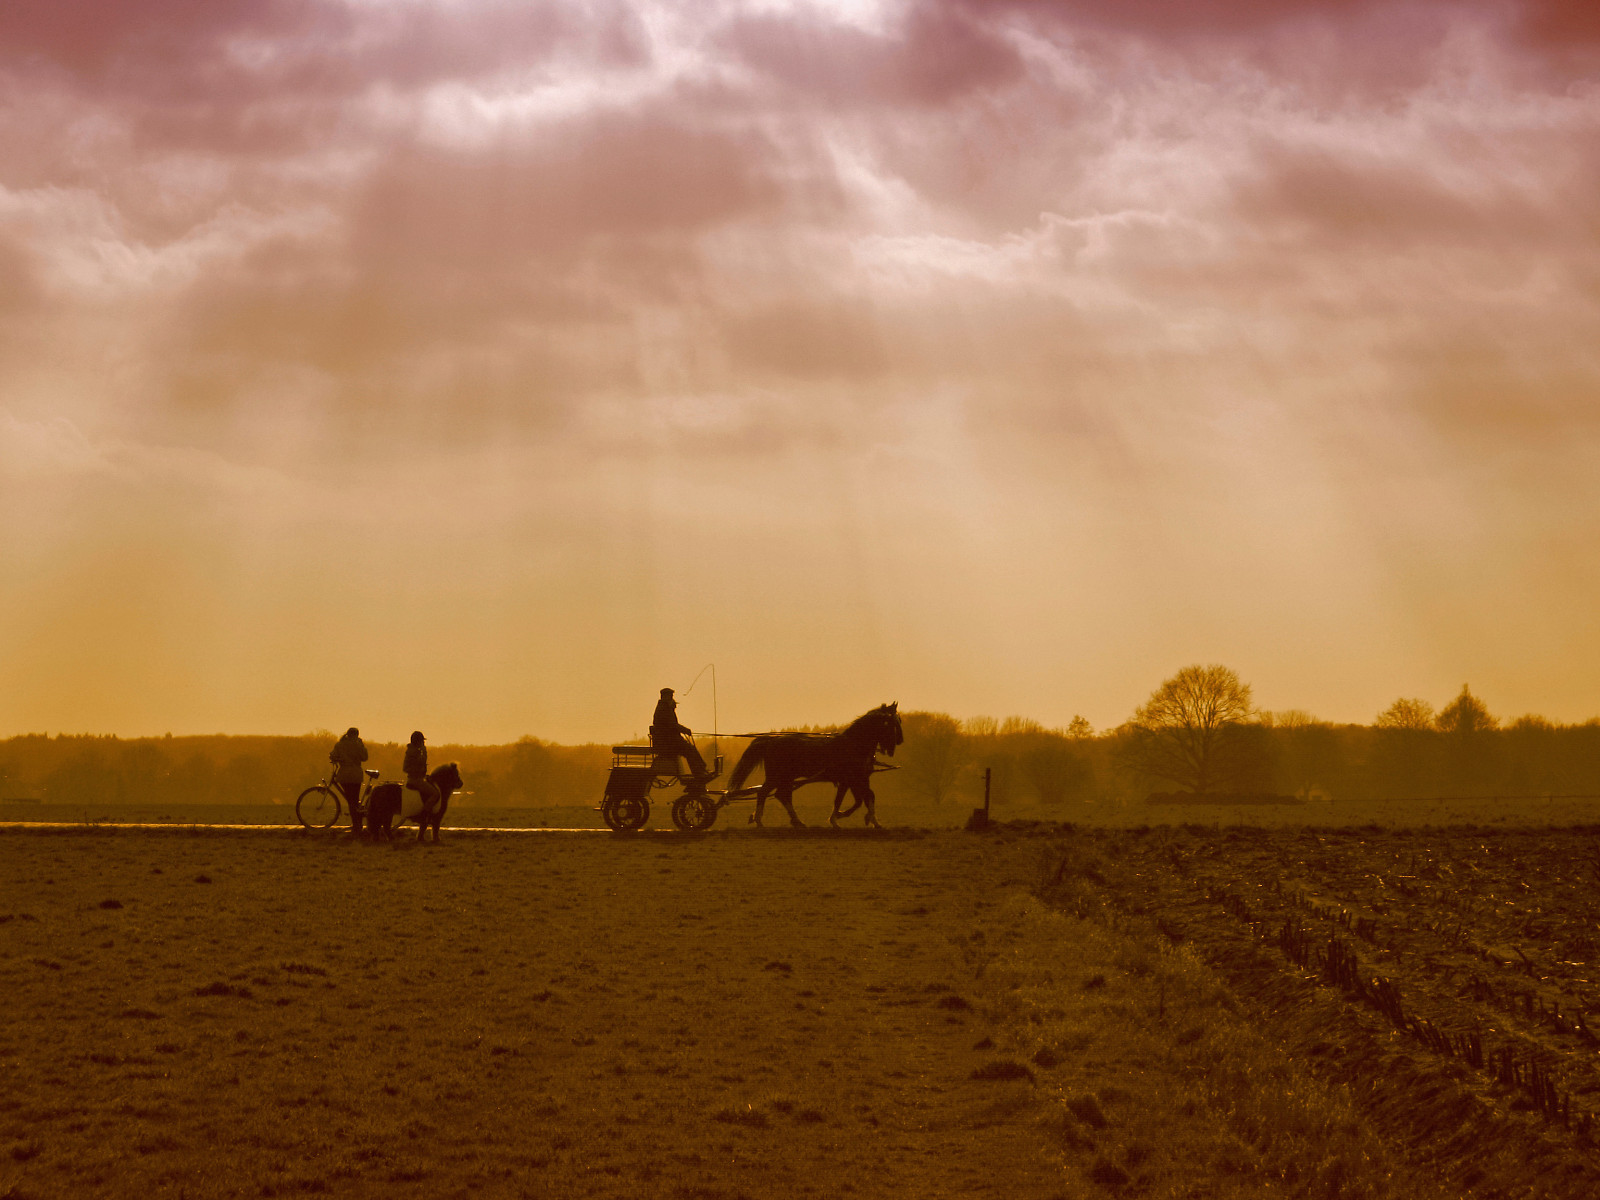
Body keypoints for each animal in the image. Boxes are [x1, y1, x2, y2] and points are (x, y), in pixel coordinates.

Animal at [726, 704, 902, 825]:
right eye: (891, 723)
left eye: (898, 721)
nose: (899, 741)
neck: (854, 744)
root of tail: (771, 740)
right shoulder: (852, 779)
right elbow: (850, 799)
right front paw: (837, 818)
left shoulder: (857, 779)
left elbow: (865, 797)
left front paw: (872, 821)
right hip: (776, 777)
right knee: (764, 793)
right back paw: (759, 820)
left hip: (786, 778)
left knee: (781, 795)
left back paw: (797, 822)